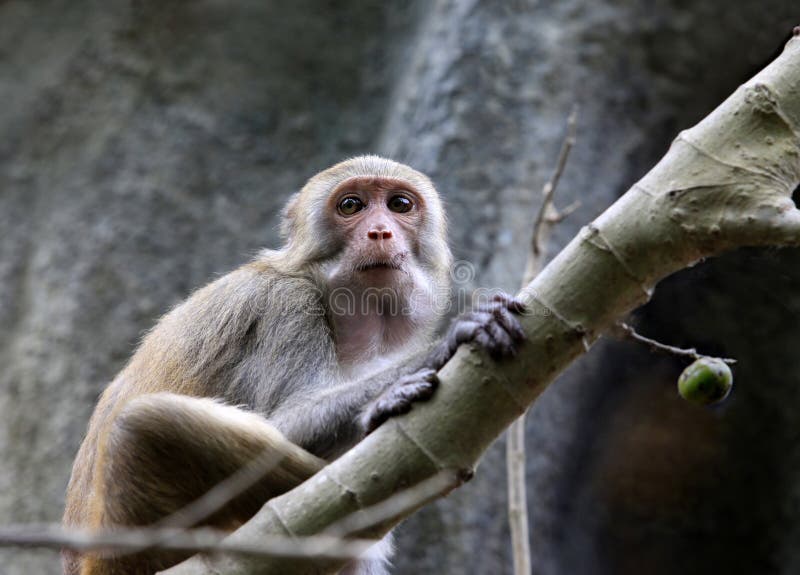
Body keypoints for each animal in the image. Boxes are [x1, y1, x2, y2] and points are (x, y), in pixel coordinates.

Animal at [62, 155, 526, 575]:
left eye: (399, 204)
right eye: (351, 206)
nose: (380, 230)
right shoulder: (286, 307)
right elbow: (288, 421)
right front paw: (442, 347)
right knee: (145, 425)